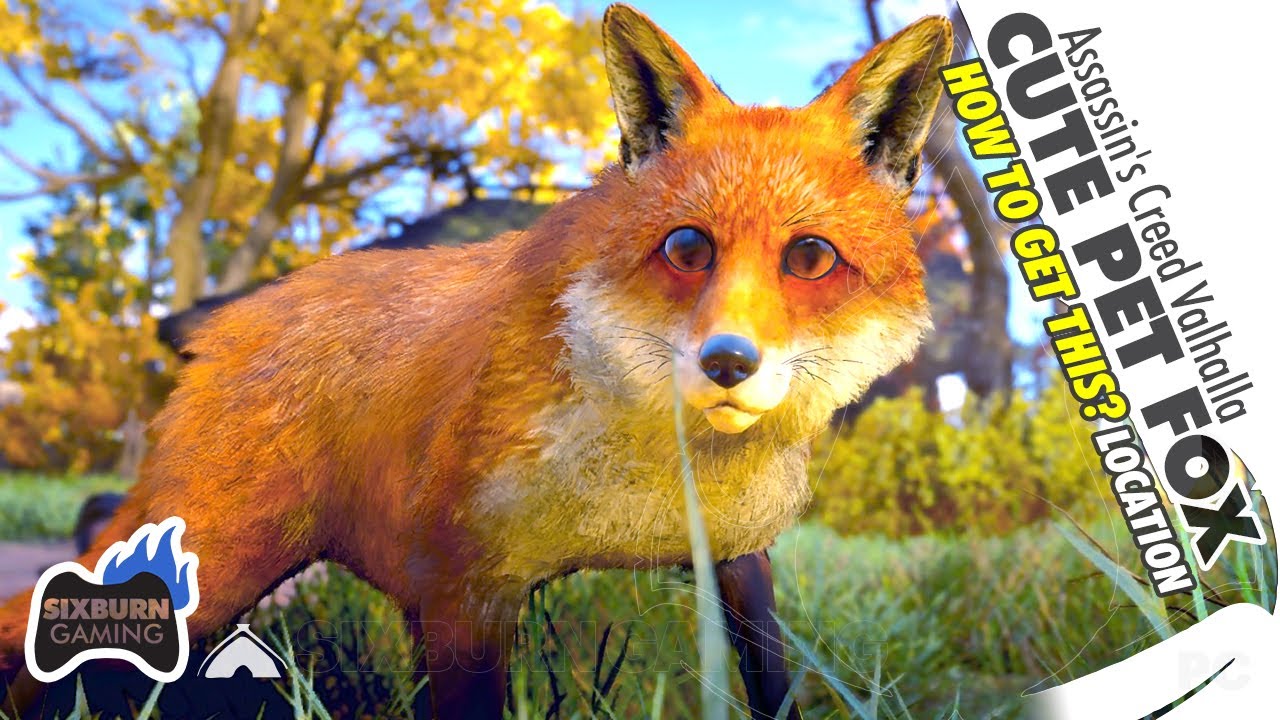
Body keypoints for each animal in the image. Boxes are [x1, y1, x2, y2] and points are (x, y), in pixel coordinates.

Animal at [0, 5, 952, 718]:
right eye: (688, 248)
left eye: (811, 259)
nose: (726, 364)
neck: (634, 486)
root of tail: (238, 311)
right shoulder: (463, 586)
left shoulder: (736, 558)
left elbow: (771, 683)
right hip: (215, 556)